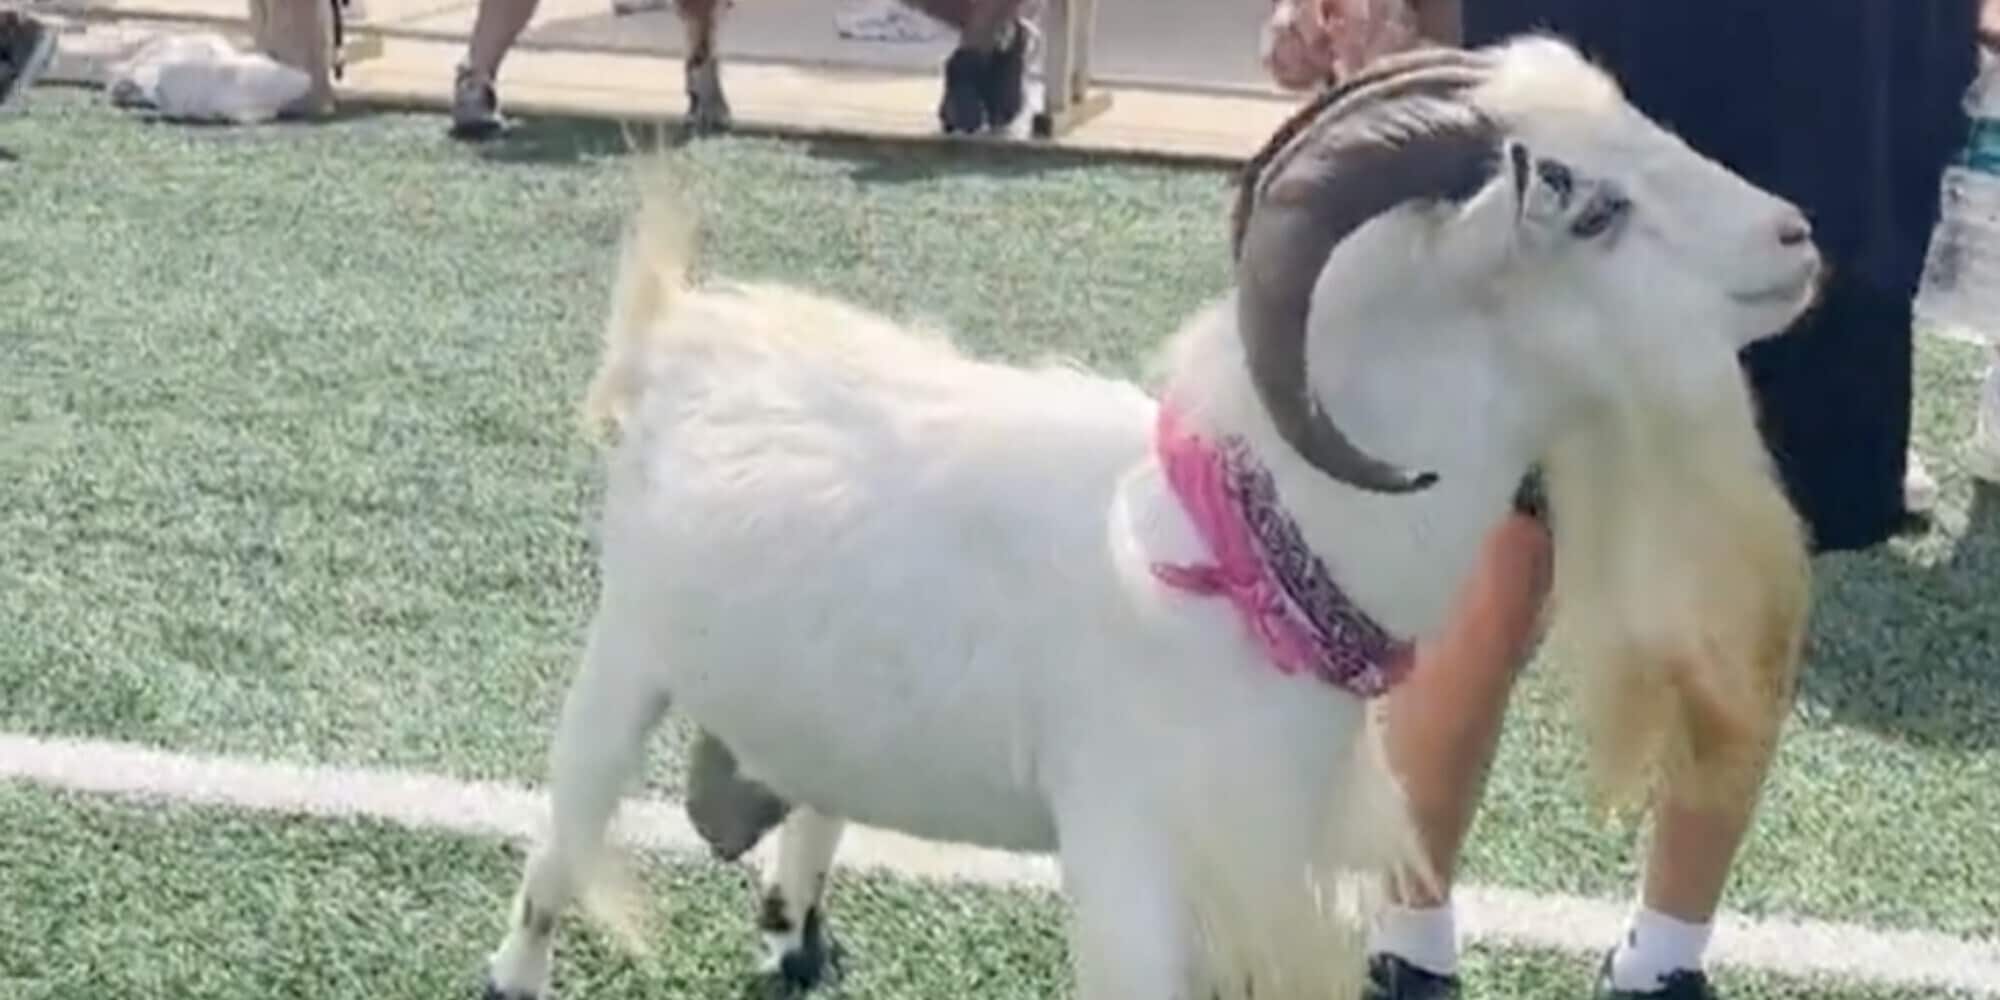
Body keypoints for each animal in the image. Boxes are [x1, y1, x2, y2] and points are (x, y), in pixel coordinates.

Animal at [478, 35, 1816, 1000]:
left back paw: (800, 938)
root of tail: (681, 322)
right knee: (557, 846)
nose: (1798, 234)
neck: (1247, 545)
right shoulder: (1131, 864)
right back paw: (519, 971)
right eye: (1593, 208)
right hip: (622, 657)